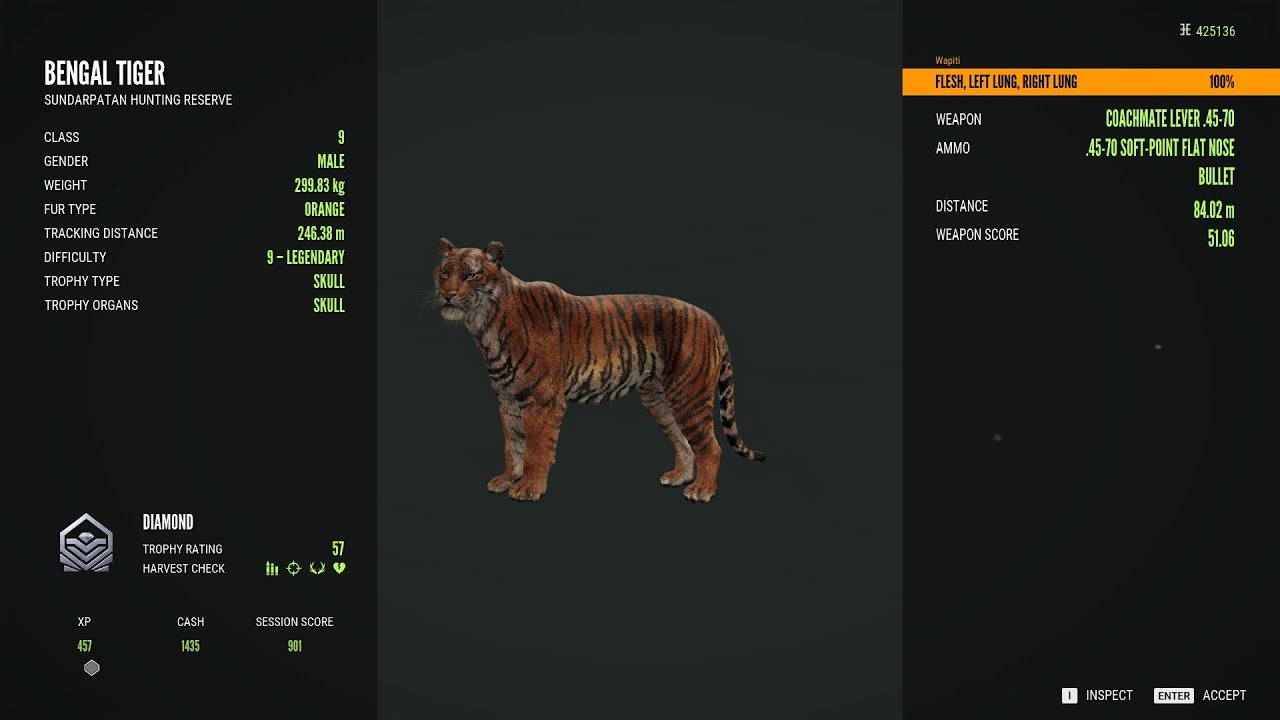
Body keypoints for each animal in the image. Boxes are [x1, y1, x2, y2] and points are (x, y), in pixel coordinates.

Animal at [432, 237, 766, 503]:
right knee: (683, 441)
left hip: (688, 394)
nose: (447, 294)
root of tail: (711, 319)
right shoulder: (507, 399)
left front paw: (528, 488)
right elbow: (513, 445)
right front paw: (507, 479)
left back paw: (701, 491)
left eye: (471, 274)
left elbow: (536, 449)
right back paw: (679, 477)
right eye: (445, 271)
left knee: (710, 447)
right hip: (658, 398)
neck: (484, 325)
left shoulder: (542, 400)